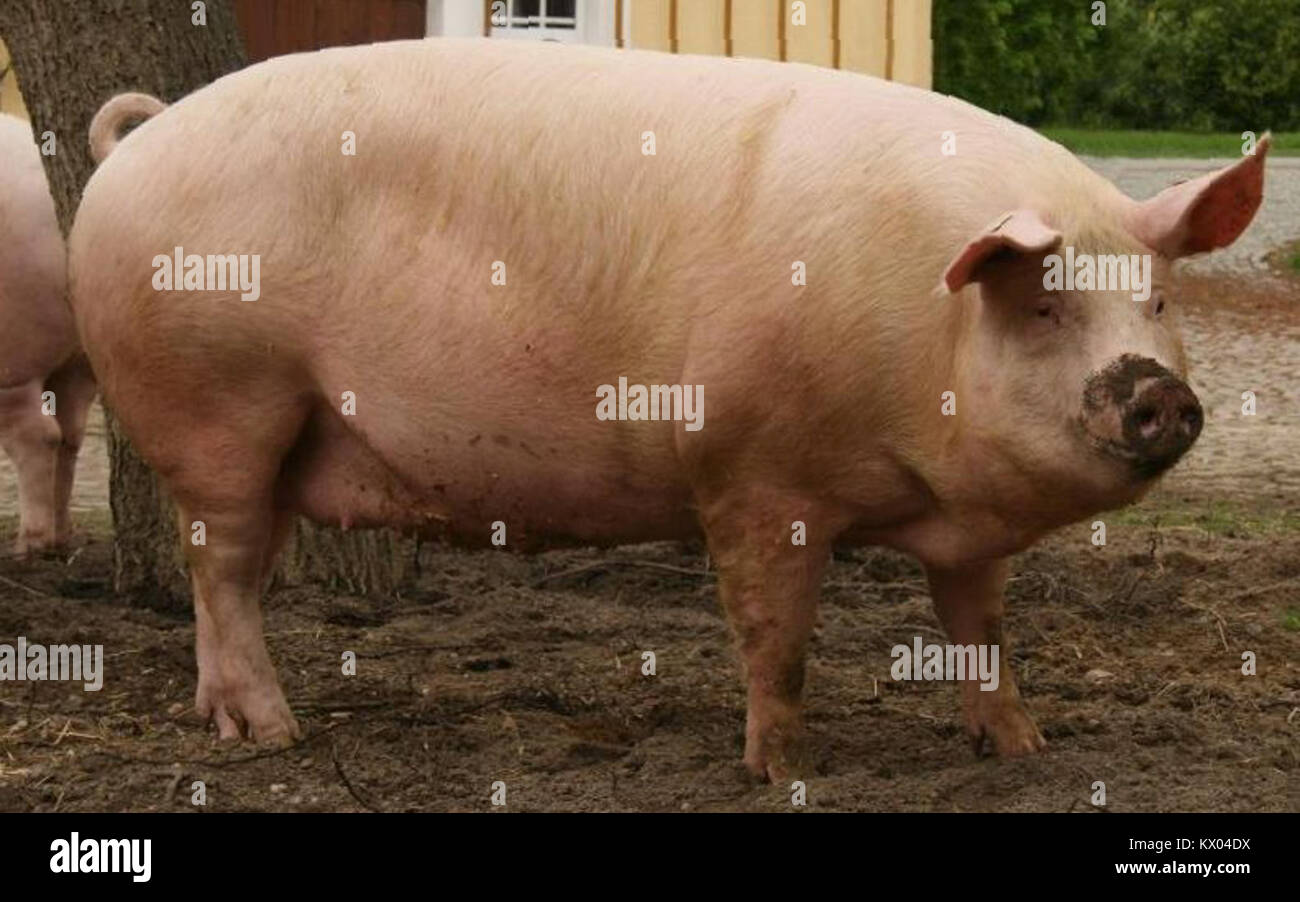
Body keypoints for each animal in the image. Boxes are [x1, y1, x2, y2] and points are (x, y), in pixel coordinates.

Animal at [68, 39, 1268, 780]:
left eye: (1157, 300)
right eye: (1044, 304)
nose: (1157, 391)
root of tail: (139, 140)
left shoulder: (965, 538)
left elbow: (983, 633)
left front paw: (1026, 753)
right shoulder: (752, 471)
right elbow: (775, 637)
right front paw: (786, 770)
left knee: (229, 576)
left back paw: (227, 724)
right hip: (218, 399)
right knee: (221, 572)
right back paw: (273, 736)